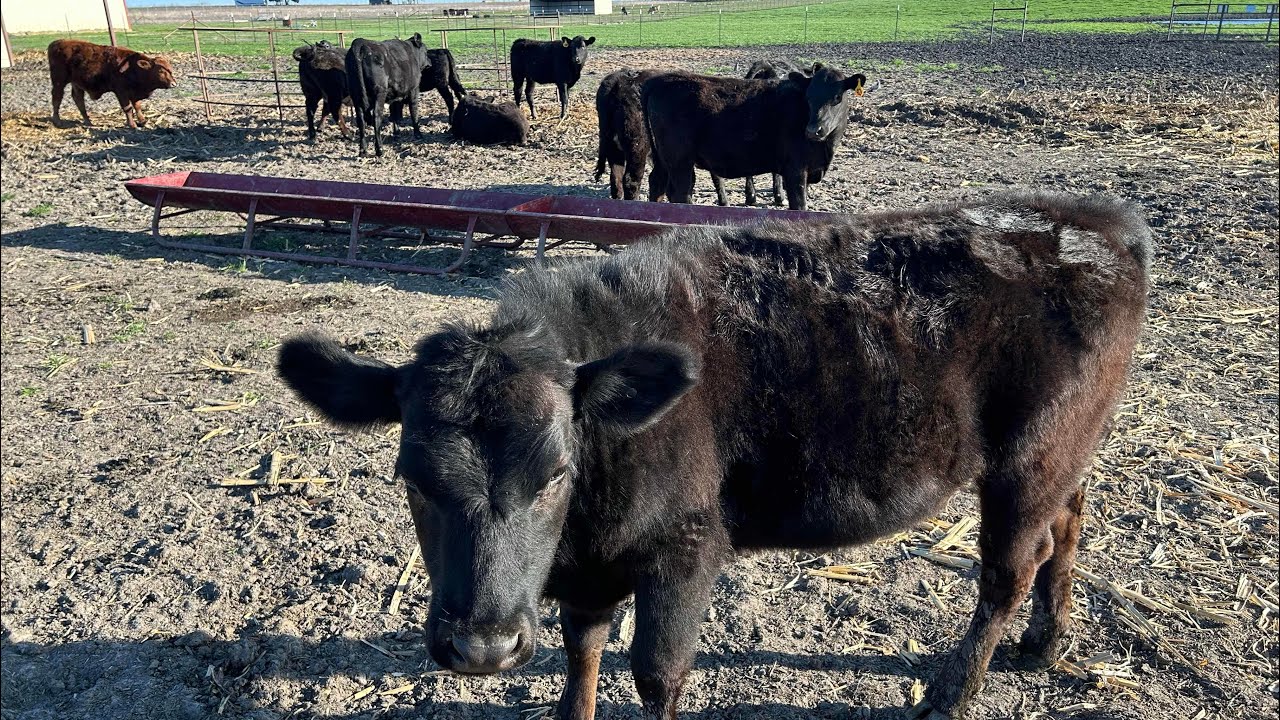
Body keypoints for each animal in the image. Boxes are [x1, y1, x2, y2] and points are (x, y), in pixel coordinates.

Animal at [47, 39, 175, 129]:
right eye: (160, 71)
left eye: (170, 69)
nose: (173, 83)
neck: (132, 67)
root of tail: (57, 42)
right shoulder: (121, 92)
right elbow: (127, 108)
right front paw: (132, 124)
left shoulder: (133, 92)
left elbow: (137, 106)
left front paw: (143, 121)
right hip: (59, 81)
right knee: (57, 99)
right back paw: (57, 121)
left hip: (77, 84)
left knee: (79, 100)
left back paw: (88, 121)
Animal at [277, 192, 1152, 720]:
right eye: (413, 480)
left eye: (555, 474)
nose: (483, 648)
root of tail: (1093, 216)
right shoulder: (589, 573)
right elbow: (582, 654)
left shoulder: (687, 549)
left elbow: (657, 673)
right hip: (1065, 452)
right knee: (1068, 525)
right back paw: (1045, 643)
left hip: (1029, 460)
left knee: (1009, 569)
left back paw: (951, 690)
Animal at [644, 64, 866, 210]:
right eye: (809, 96)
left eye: (837, 97)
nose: (813, 130)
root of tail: (659, 81)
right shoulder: (795, 170)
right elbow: (799, 206)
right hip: (679, 161)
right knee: (680, 193)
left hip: (664, 159)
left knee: (657, 185)